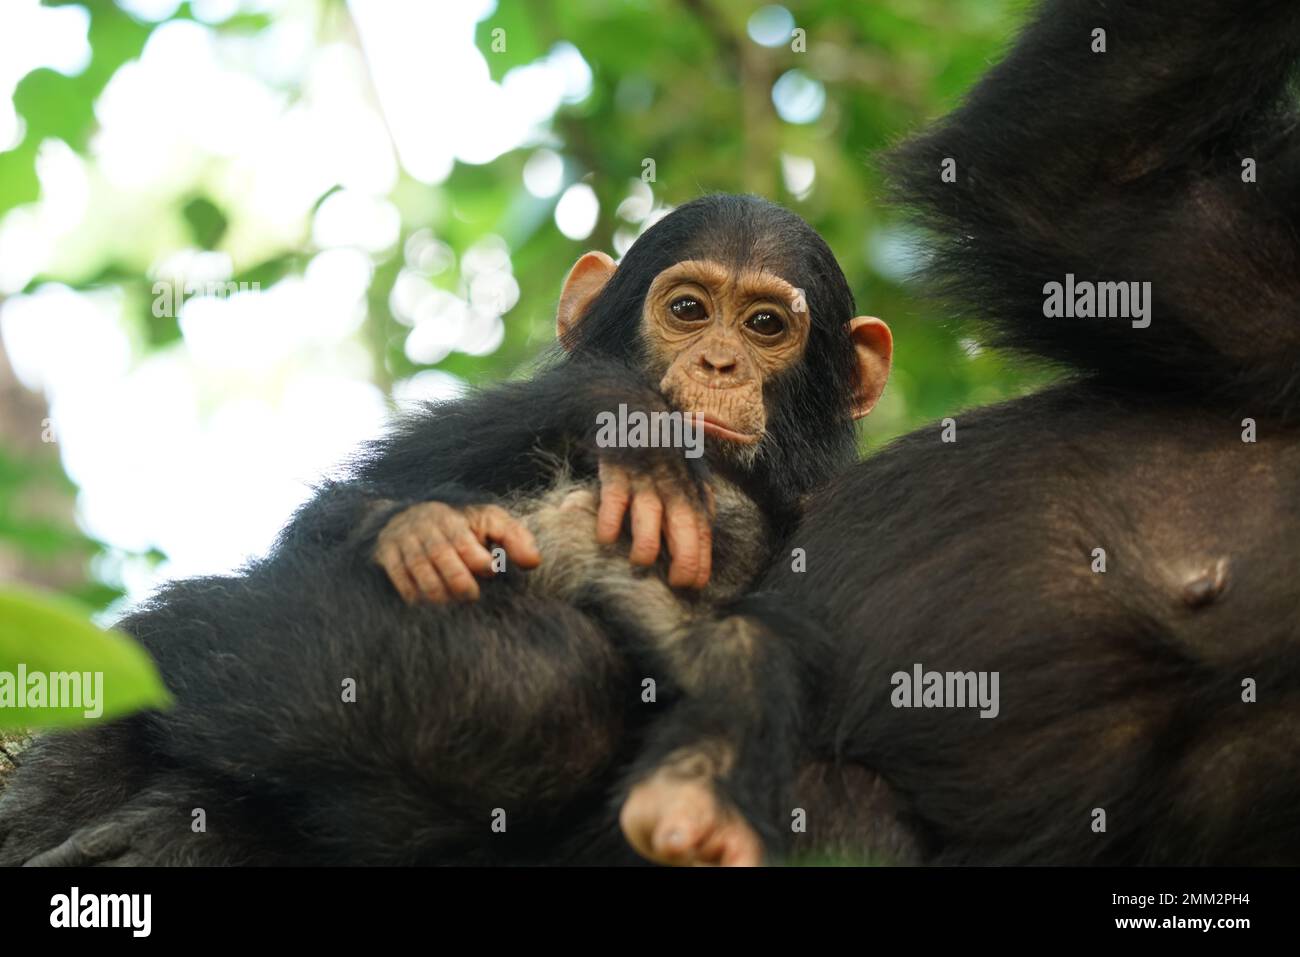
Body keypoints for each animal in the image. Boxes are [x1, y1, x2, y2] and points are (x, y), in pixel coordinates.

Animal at [0, 194, 892, 867]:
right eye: (688, 309)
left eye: (767, 325)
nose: (719, 364)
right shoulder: (491, 421)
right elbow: (325, 522)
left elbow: (737, 655)